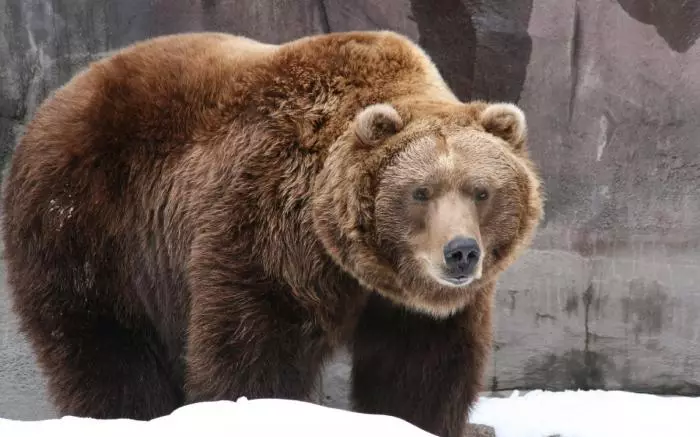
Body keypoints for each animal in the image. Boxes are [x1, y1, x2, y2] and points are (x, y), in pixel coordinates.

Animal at [1, 29, 540, 434]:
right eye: (420, 192)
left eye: (481, 191)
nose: (461, 253)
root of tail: (56, 100)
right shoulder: (268, 223)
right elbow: (253, 343)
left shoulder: (412, 306)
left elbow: (421, 366)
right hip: (90, 227)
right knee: (105, 345)